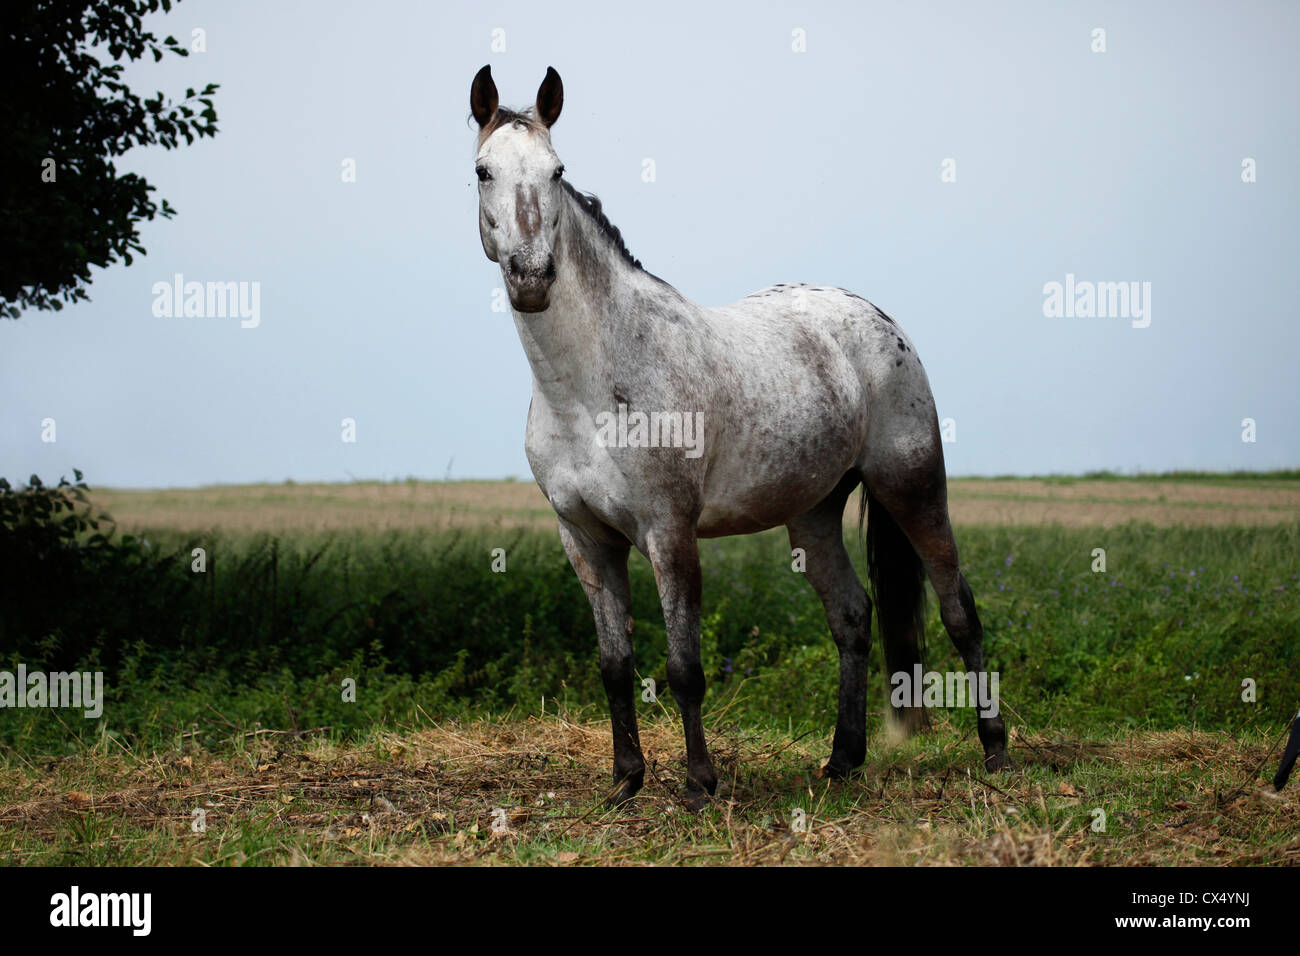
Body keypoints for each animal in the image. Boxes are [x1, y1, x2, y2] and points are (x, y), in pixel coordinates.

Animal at [468, 64, 1009, 809]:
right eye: (482, 170)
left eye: (556, 171)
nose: (531, 276)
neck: (588, 386)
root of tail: (878, 318)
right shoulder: (585, 540)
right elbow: (614, 665)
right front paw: (626, 781)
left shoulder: (669, 533)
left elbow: (684, 667)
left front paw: (699, 785)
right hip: (814, 514)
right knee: (852, 617)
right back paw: (843, 760)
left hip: (913, 487)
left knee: (960, 611)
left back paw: (995, 750)